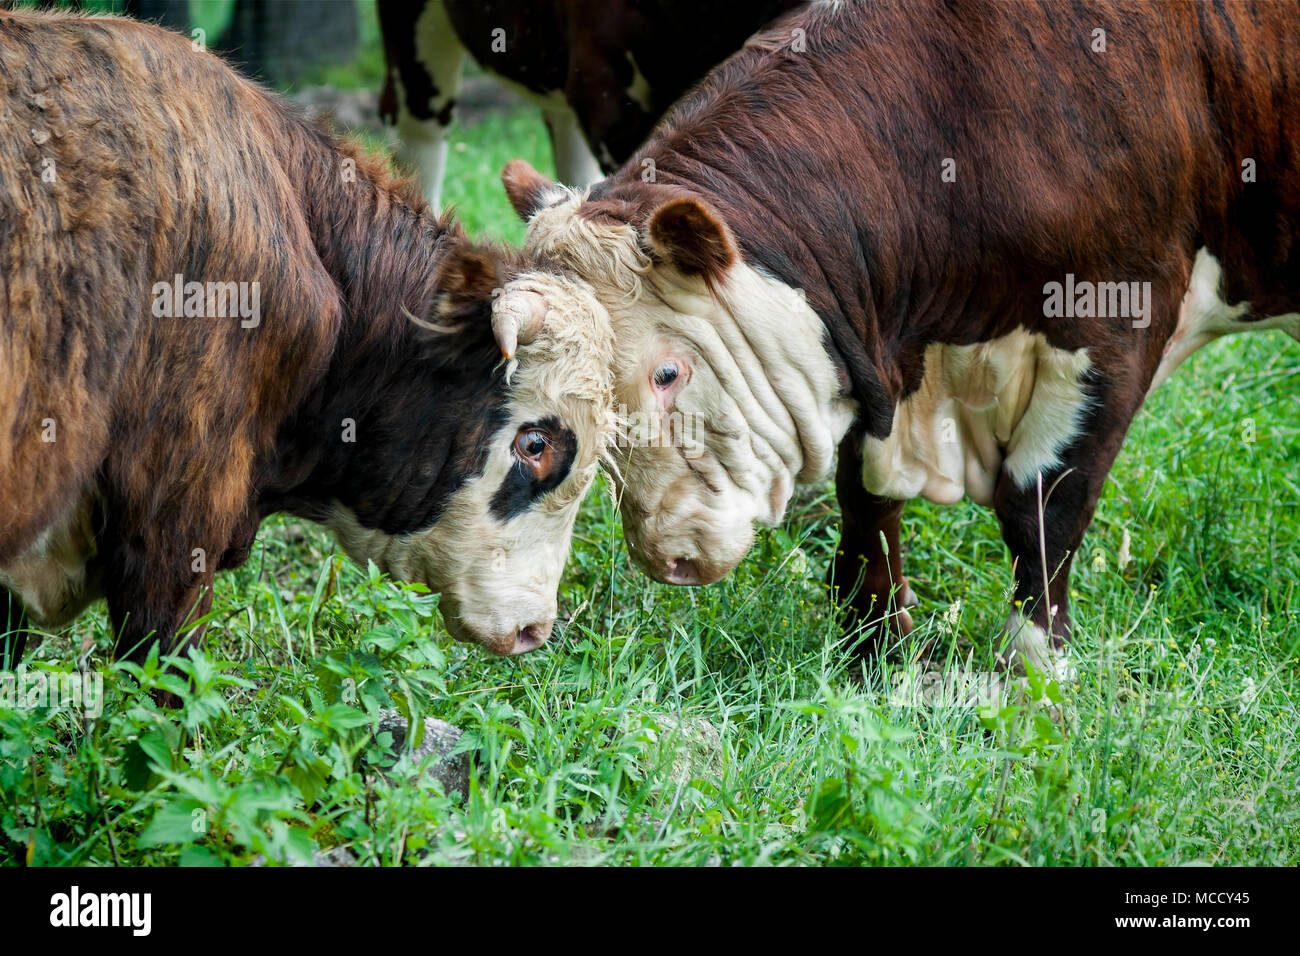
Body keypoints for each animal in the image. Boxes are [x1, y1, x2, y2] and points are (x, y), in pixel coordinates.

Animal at [500, 0, 1300, 677]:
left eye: (668, 373)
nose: (667, 558)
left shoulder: (1114, 325)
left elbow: (1043, 507)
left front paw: (1032, 669)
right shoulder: (879, 355)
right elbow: (868, 500)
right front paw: (876, 646)